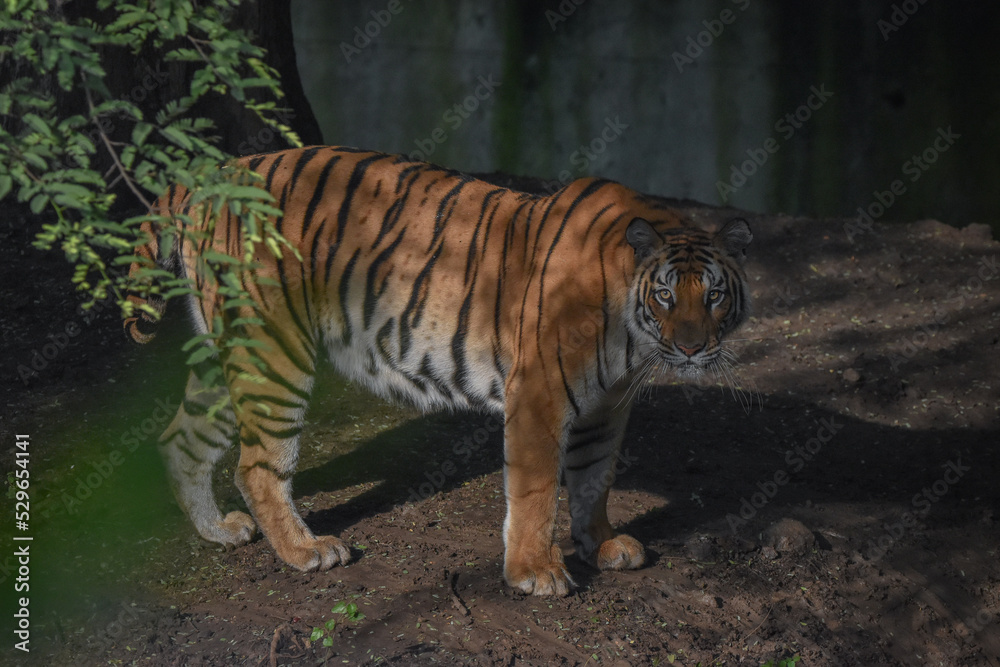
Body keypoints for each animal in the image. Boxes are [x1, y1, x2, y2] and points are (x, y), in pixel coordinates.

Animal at [124, 145, 752, 596]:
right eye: (666, 295)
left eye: (715, 295)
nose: (693, 349)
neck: (631, 335)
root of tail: (217, 172)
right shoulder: (539, 394)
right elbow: (536, 490)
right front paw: (534, 572)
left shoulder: (606, 406)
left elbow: (594, 478)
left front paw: (600, 545)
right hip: (273, 350)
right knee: (257, 466)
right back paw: (308, 551)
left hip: (225, 353)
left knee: (179, 438)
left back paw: (219, 531)